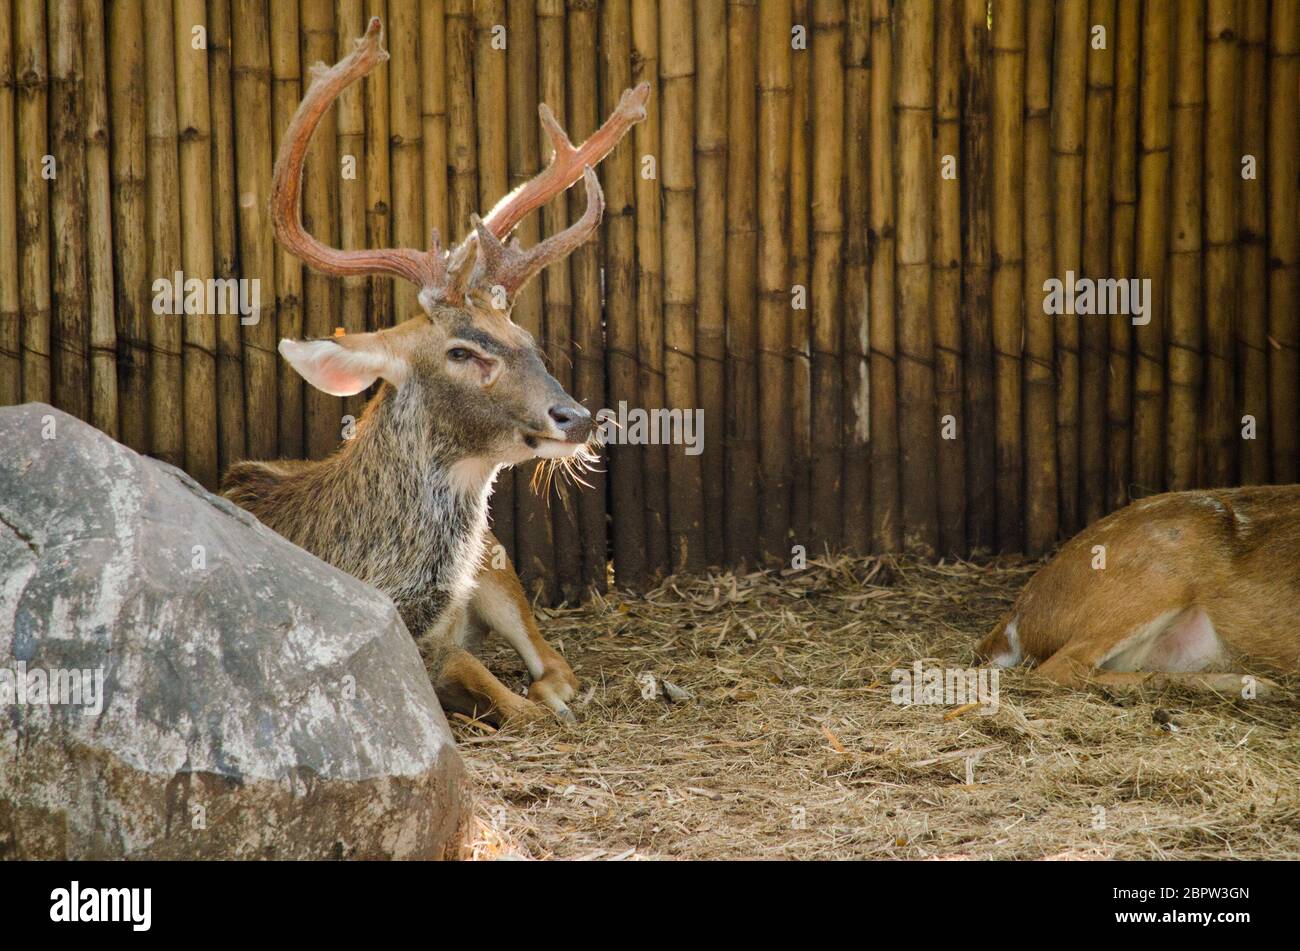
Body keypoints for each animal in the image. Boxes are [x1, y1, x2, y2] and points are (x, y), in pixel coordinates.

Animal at [221, 18, 649, 725]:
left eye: (526, 339)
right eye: (462, 352)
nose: (578, 417)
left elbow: (509, 679)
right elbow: (479, 678)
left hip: (497, 563)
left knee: (550, 658)